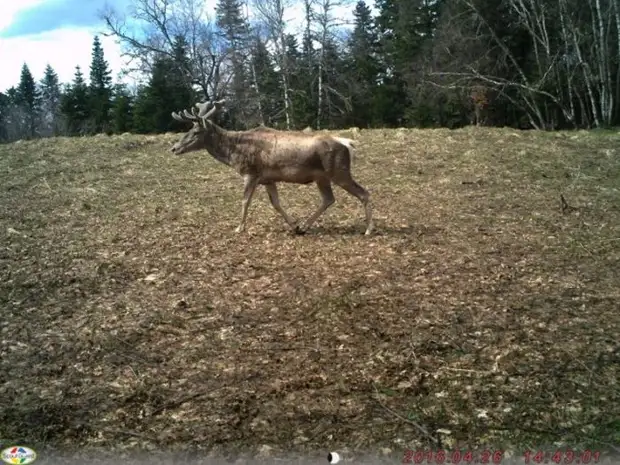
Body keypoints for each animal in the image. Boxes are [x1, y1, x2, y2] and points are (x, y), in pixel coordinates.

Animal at [170, 99, 372, 236]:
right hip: (322, 177)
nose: (174, 148)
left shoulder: (250, 173)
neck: (233, 153)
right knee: (328, 199)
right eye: (188, 129)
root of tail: (348, 143)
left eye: (196, 131)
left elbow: (245, 201)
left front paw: (239, 227)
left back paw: (369, 229)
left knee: (364, 193)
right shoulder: (268, 179)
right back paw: (304, 226)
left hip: (339, 171)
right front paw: (294, 225)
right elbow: (276, 203)